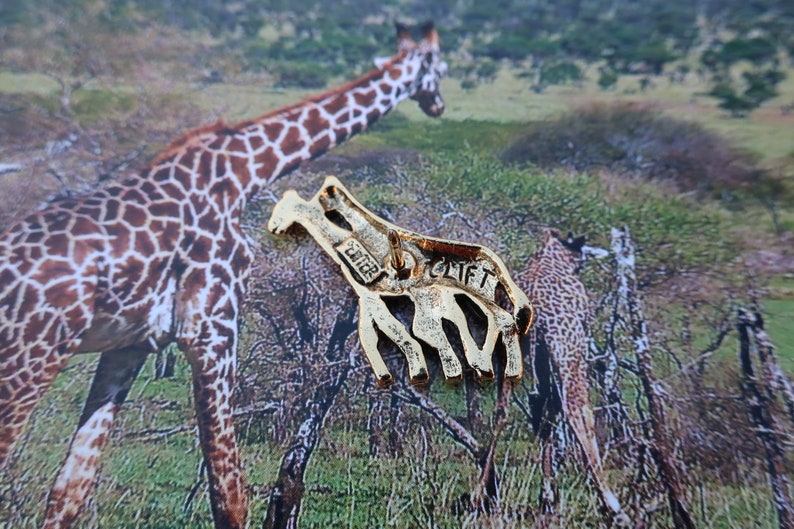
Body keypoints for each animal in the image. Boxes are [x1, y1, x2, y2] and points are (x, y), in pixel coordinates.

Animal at [0, 21, 446, 529]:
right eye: (440, 65)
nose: (438, 103)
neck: (243, 174)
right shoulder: (212, 329)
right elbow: (230, 494)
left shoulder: (130, 344)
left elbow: (69, 493)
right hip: (32, 354)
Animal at [522, 230, 629, 527]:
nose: (601, 253)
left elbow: (547, 413)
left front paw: (547, 495)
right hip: (569, 353)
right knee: (577, 411)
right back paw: (612, 505)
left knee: (534, 413)